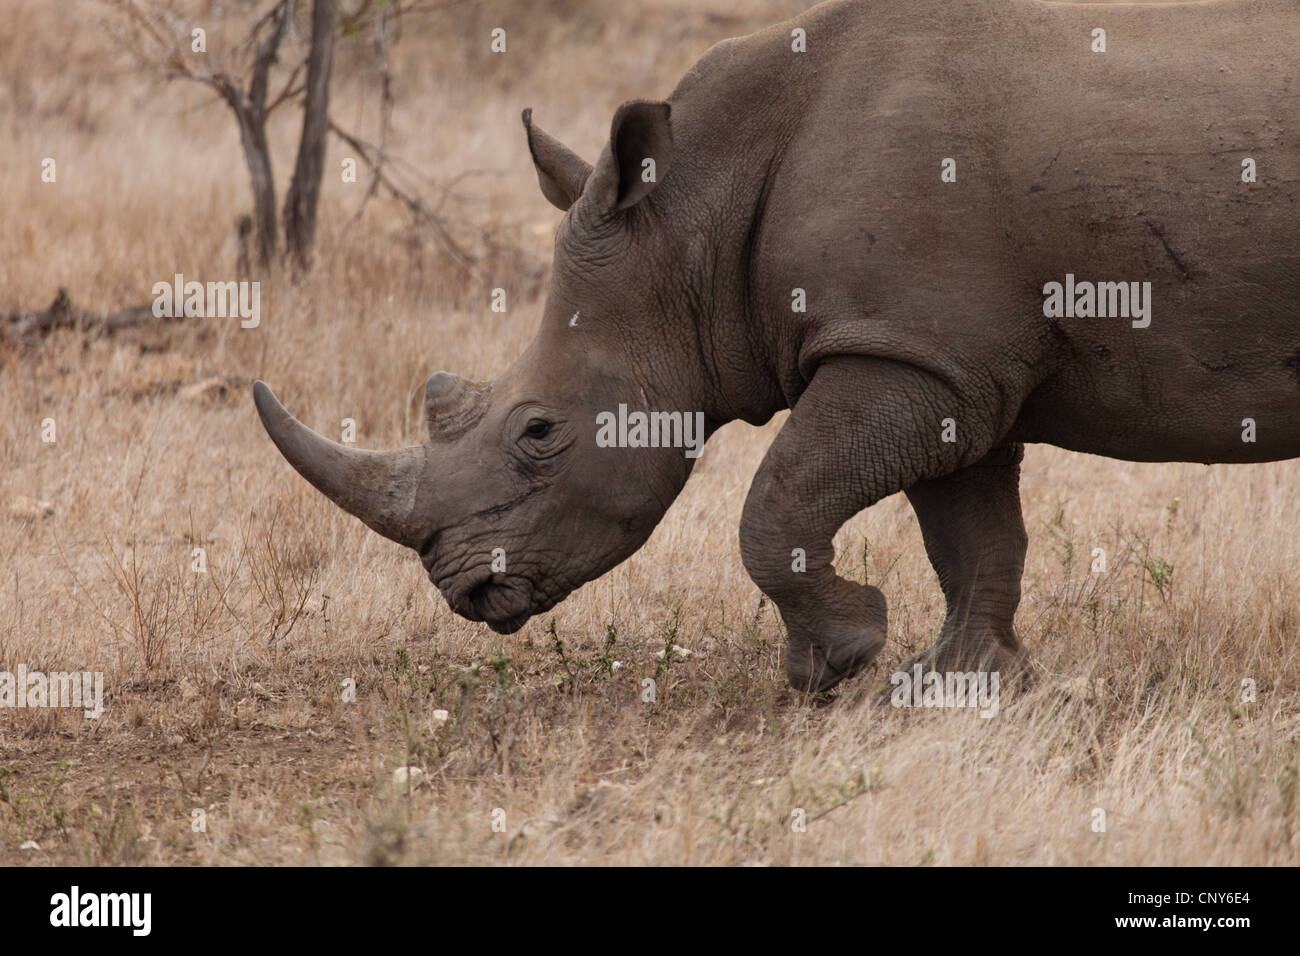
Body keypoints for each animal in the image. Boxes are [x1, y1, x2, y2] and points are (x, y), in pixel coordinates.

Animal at [255, 0, 1300, 692]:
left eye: (539, 433)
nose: (467, 590)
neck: (691, 219)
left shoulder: (907, 356)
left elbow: (778, 503)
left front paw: (836, 664)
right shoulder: (946, 361)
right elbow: (972, 532)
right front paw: (967, 680)